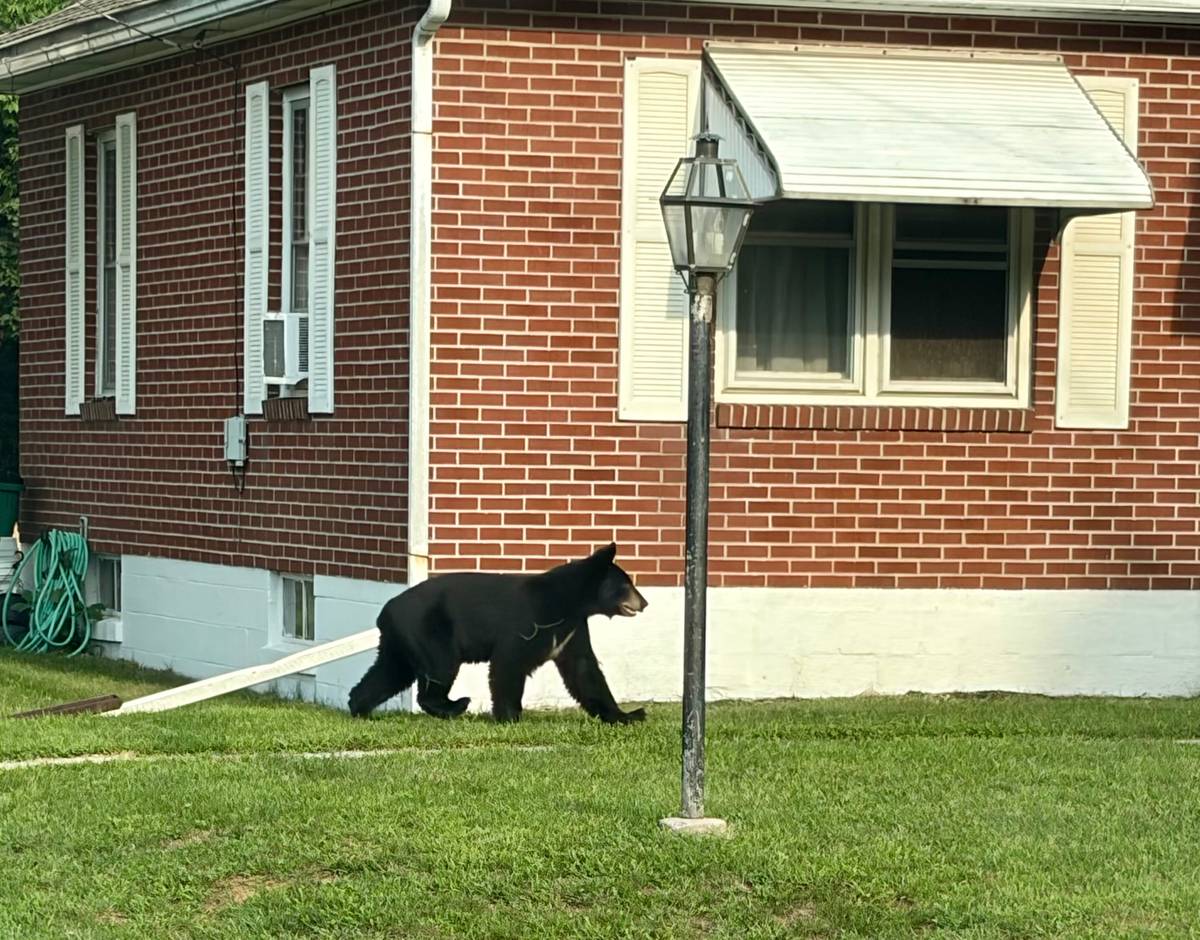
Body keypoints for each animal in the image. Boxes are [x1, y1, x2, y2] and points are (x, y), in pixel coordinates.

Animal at [348, 543, 649, 724]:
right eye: (626, 584)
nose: (644, 602)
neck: (568, 602)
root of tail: (385, 612)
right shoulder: (530, 621)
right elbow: (509, 662)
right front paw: (510, 716)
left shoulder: (572, 630)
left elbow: (584, 670)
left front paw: (628, 714)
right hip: (427, 632)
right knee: (439, 667)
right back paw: (456, 705)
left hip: (401, 641)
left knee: (388, 673)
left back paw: (358, 706)